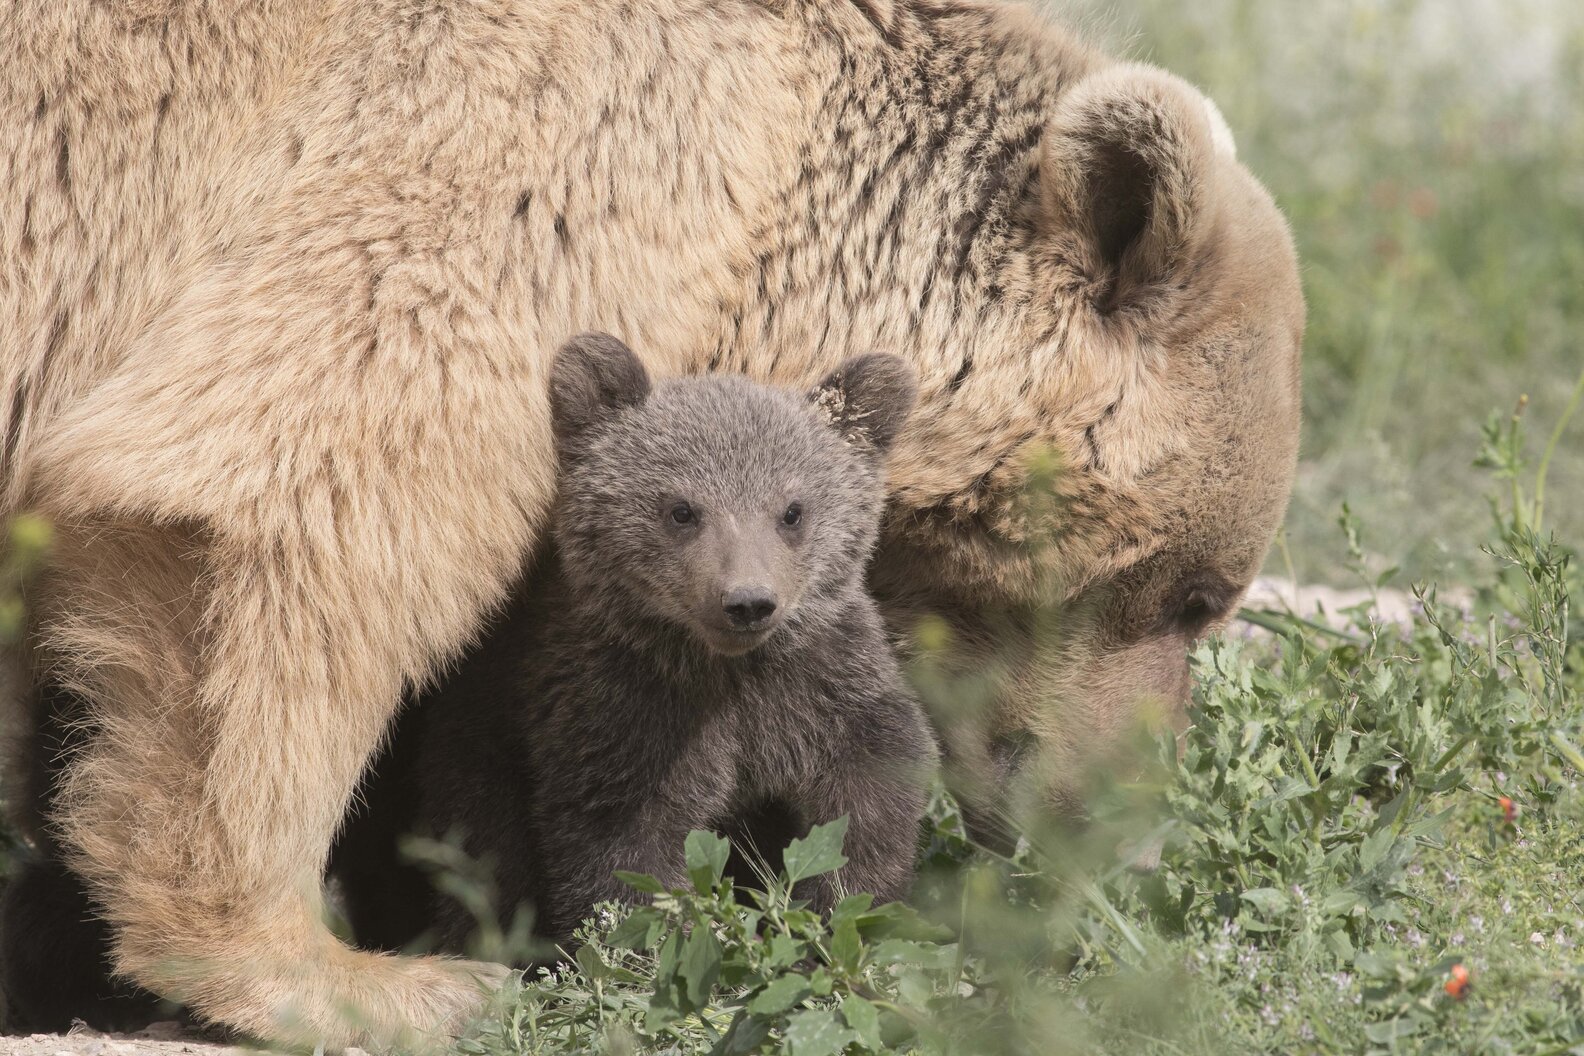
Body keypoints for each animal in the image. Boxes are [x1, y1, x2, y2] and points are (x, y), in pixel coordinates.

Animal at [334, 333, 936, 952]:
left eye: (792, 511)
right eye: (682, 509)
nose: (747, 601)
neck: (727, 674)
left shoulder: (822, 691)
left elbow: (869, 802)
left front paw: (839, 917)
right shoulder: (620, 715)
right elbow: (622, 857)